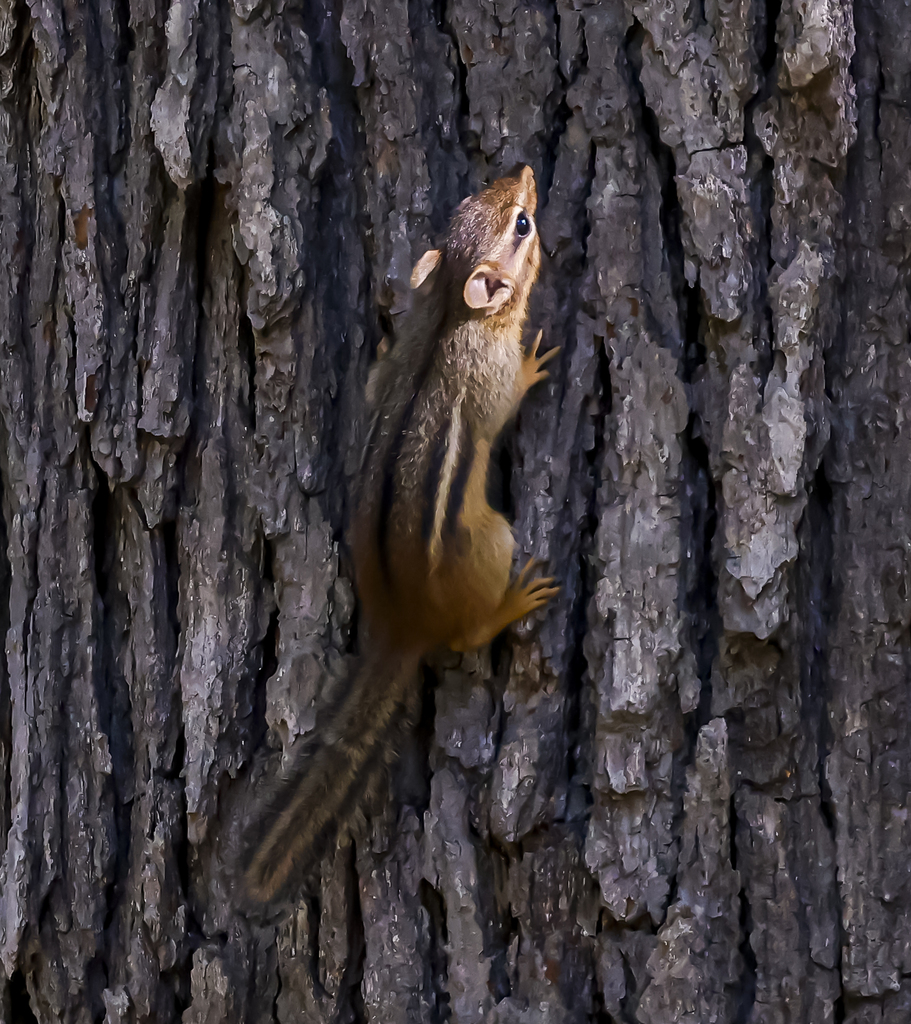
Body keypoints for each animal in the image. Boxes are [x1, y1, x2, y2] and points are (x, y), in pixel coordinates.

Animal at [242, 165, 559, 904]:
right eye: (521, 224)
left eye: (478, 196)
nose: (526, 171)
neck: (447, 314)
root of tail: (402, 622)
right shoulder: (486, 376)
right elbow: (503, 402)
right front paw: (533, 365)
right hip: (494, 543)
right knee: (468, 635)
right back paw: (513, 603)